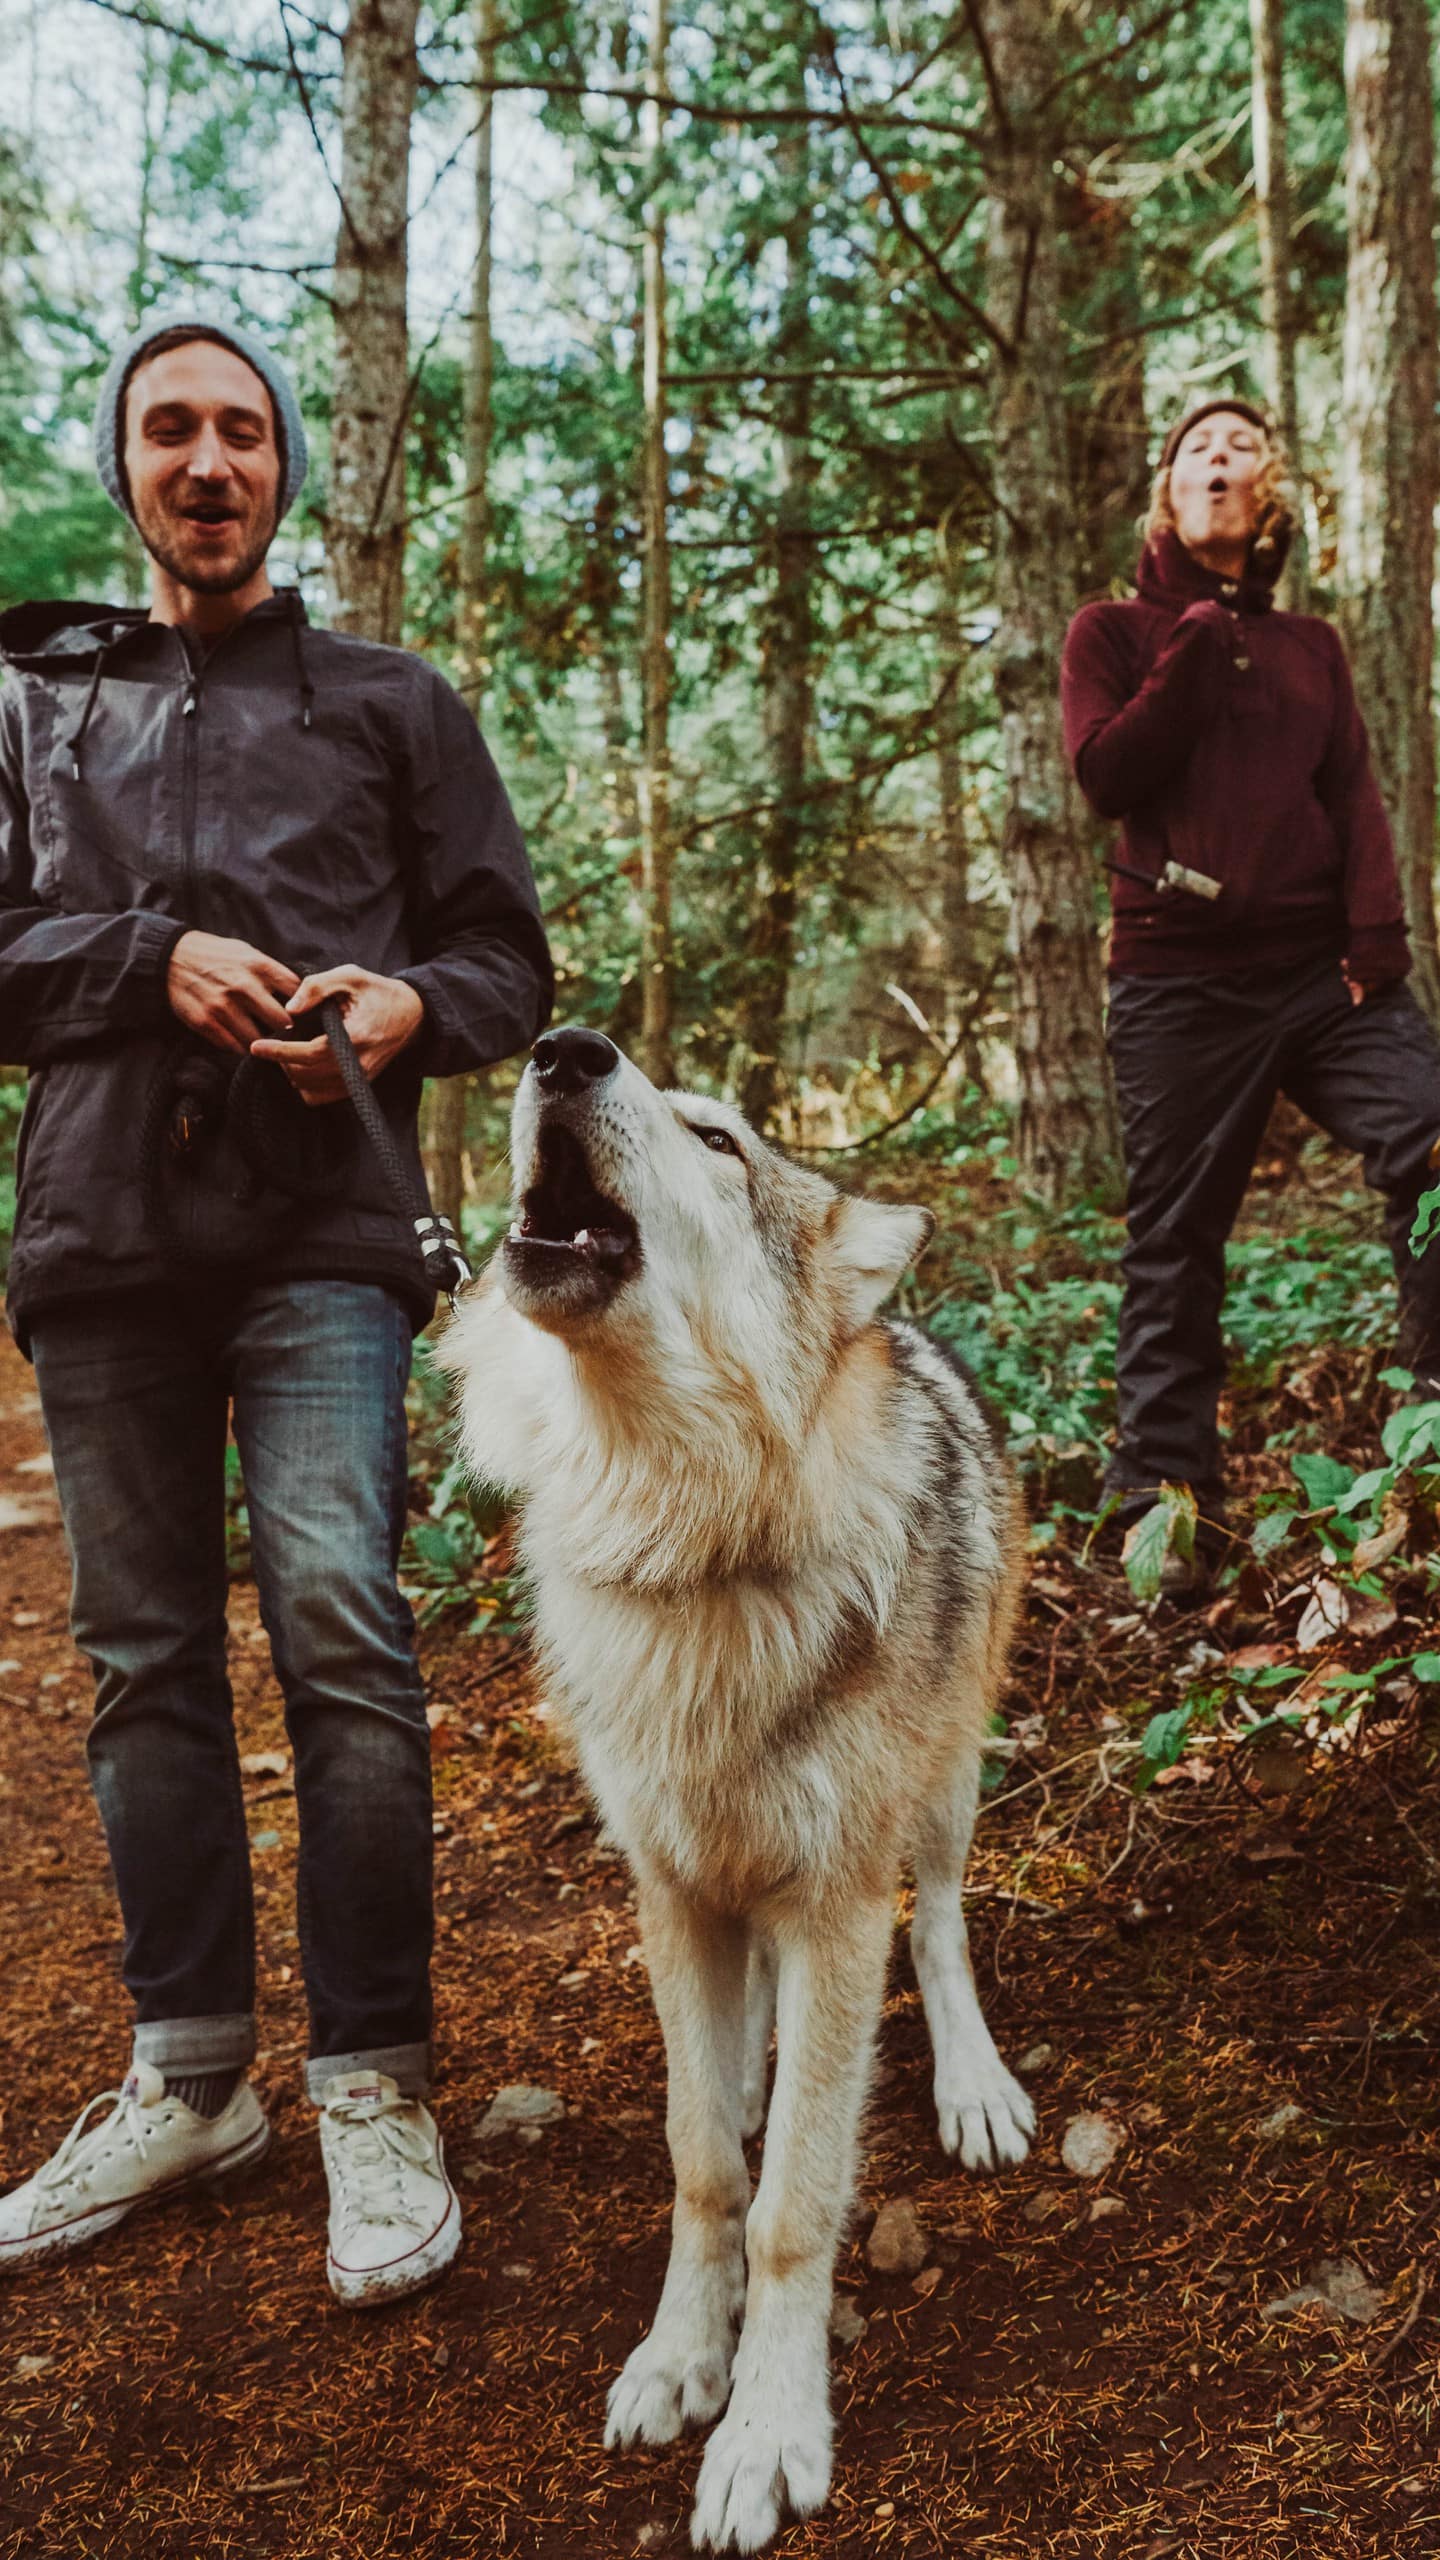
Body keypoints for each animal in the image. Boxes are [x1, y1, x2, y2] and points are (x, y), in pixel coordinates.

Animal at [443, 1026, 1034, 2554]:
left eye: (716, 1139)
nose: (563, 1046)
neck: (684, 1540)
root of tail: (920, 1331)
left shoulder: (835, 1904)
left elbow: (792, 2211)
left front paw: (765, 2432)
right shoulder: (667, 1886)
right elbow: (705, 2165)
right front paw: (676, 2359)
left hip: (939, 1795)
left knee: (944, 1933)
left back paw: (974, 2086)